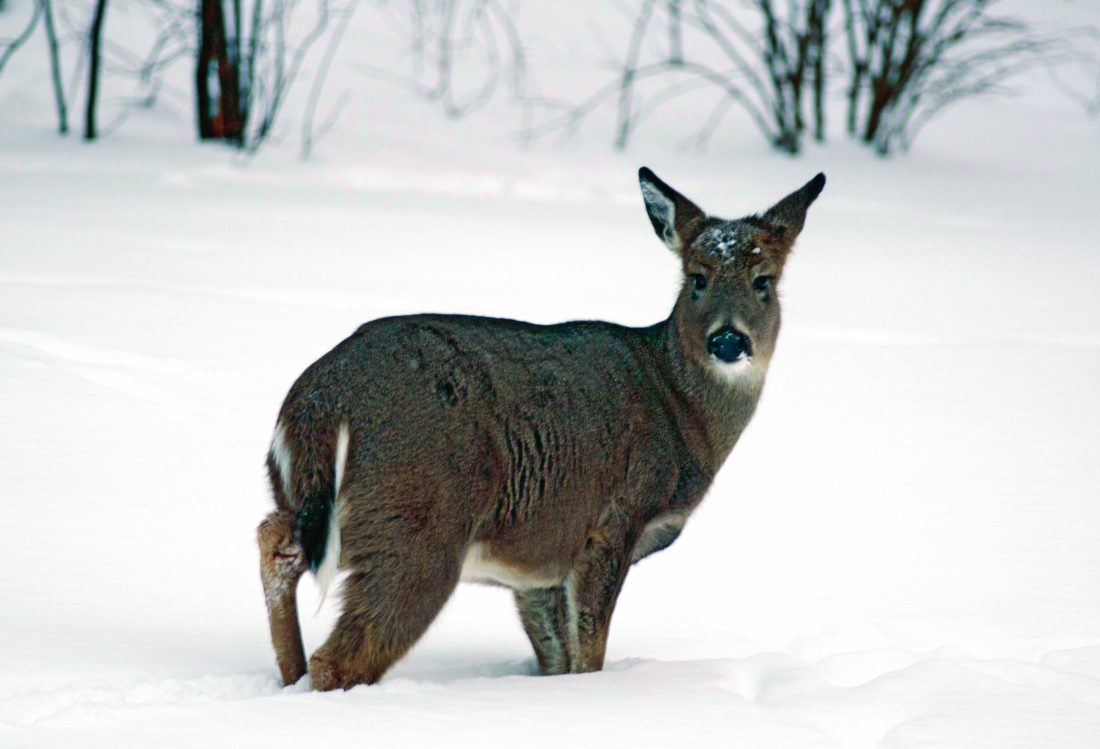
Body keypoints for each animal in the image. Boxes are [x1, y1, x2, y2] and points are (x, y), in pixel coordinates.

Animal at [257, 167, 826, 690]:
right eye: (697, 278)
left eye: (764, 281)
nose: (728, 340)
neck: (681, 413)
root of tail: (319, 402)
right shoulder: (613, 519)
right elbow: (588, 651)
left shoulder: (538, 563)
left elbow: (556, 659)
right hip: (418, 514)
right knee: (342, 657)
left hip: (319, 503)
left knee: (273, 539)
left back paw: (288, 673)